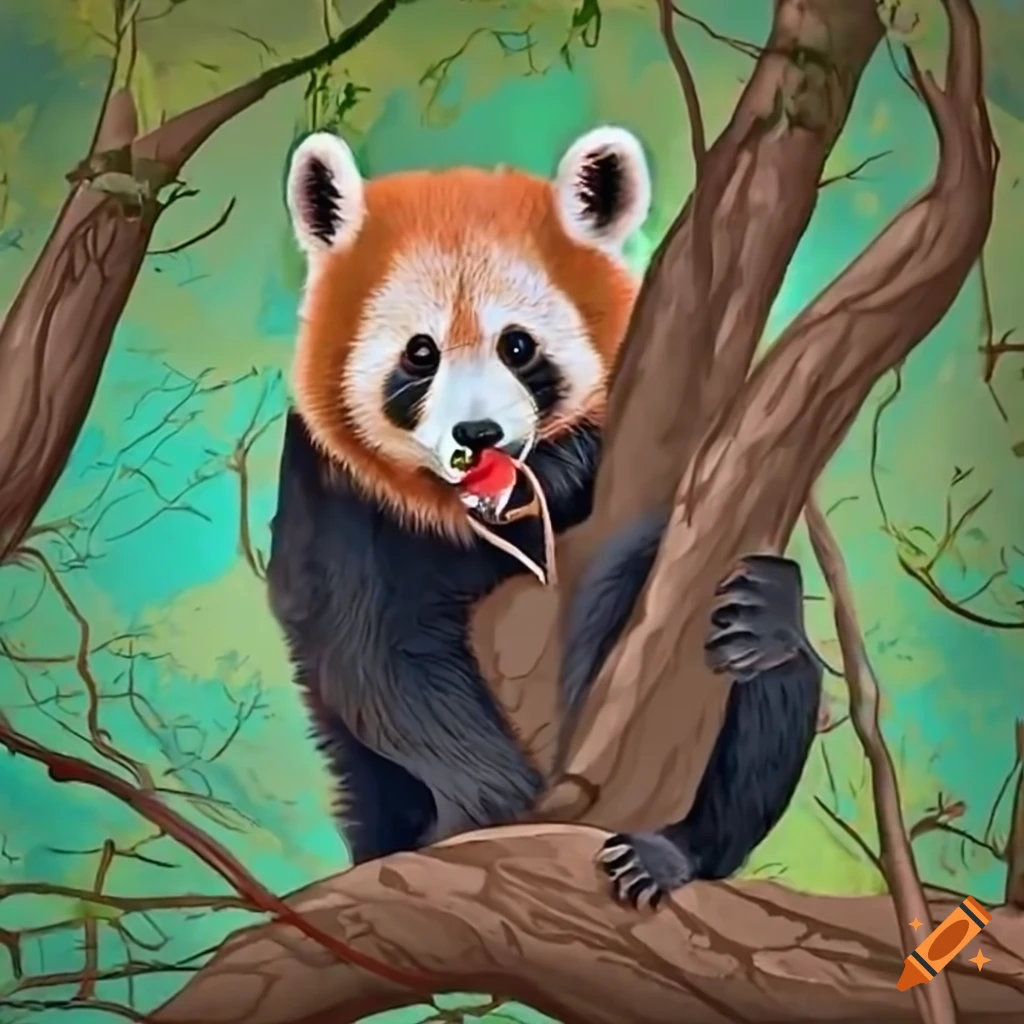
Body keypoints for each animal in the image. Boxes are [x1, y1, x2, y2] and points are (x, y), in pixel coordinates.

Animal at [267, 125, 822, 909]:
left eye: (518, 346)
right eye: (420, 354)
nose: (478, 437)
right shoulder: (336, 498)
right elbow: (379, 656)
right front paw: (495, 810)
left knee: (773, 679)